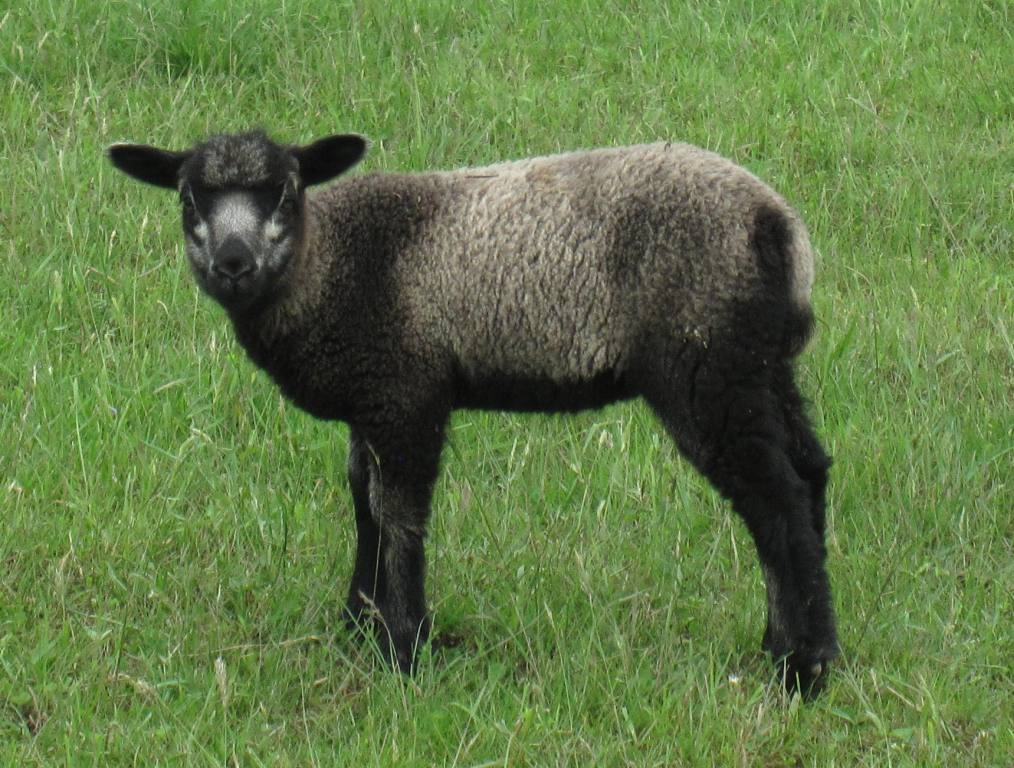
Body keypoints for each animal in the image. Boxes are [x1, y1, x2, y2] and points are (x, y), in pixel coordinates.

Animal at [107, 130, 838, 695]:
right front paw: (357, 624)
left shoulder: (406, 392)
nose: (233, 263)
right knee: (809, 472)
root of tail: (778, 226)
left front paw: (405, 649)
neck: (327, 264)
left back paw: (804, 669)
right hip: (761, 365)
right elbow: (363, 501)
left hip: (704, 366)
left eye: (285, 191)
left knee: (774, 499)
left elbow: (400, 515)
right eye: (188, 196)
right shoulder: (370, 399)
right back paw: (791, 644)